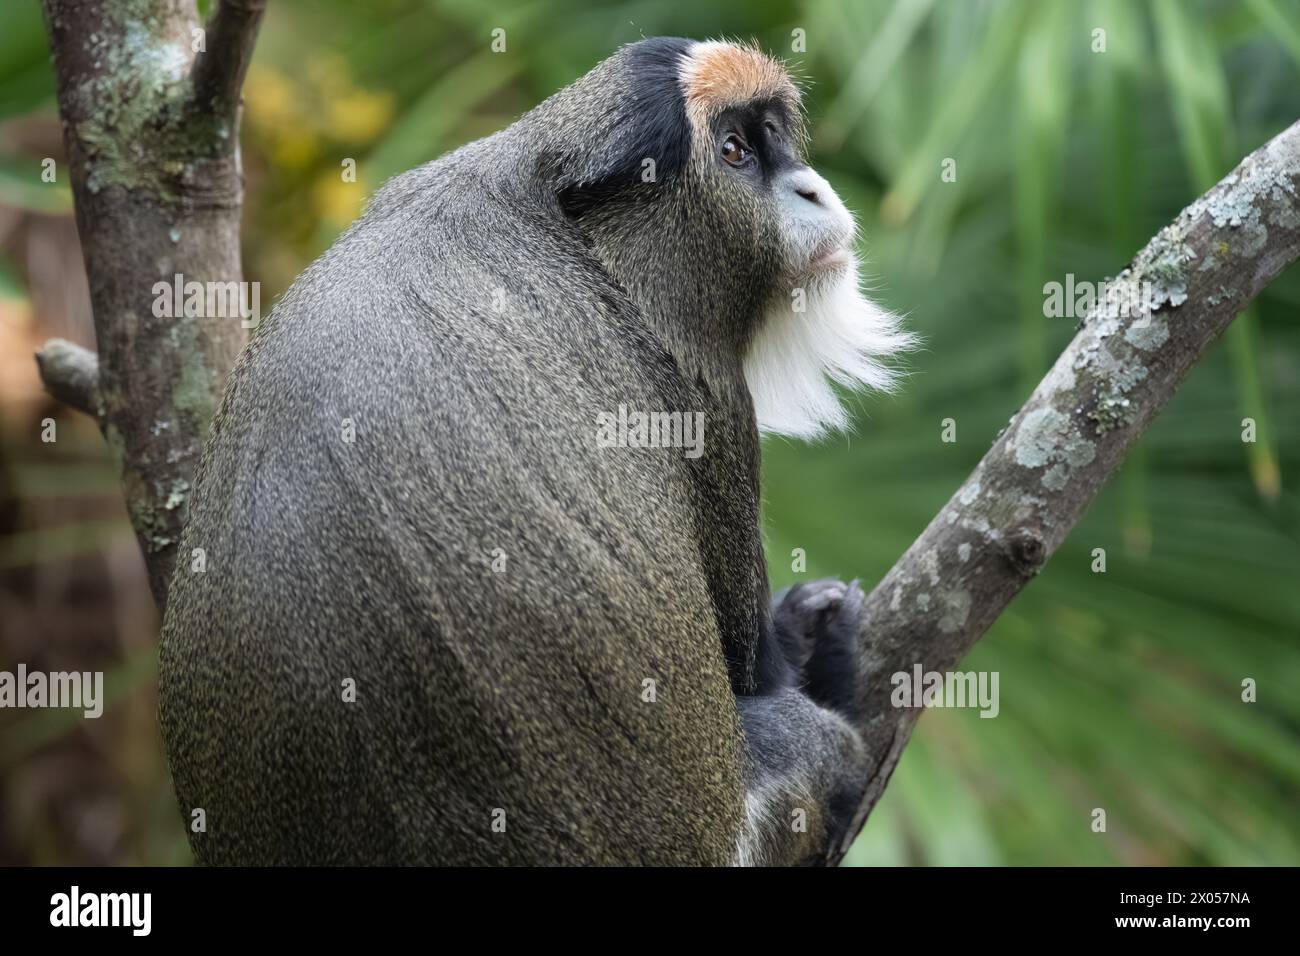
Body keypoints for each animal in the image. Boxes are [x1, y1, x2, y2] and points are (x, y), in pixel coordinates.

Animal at [158, 37, 913, 866]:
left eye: (773, 135)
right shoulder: (703, 396)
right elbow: (755, 669)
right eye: (735, 151)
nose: (812, 190)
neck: (558, 212)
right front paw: (815, 641)